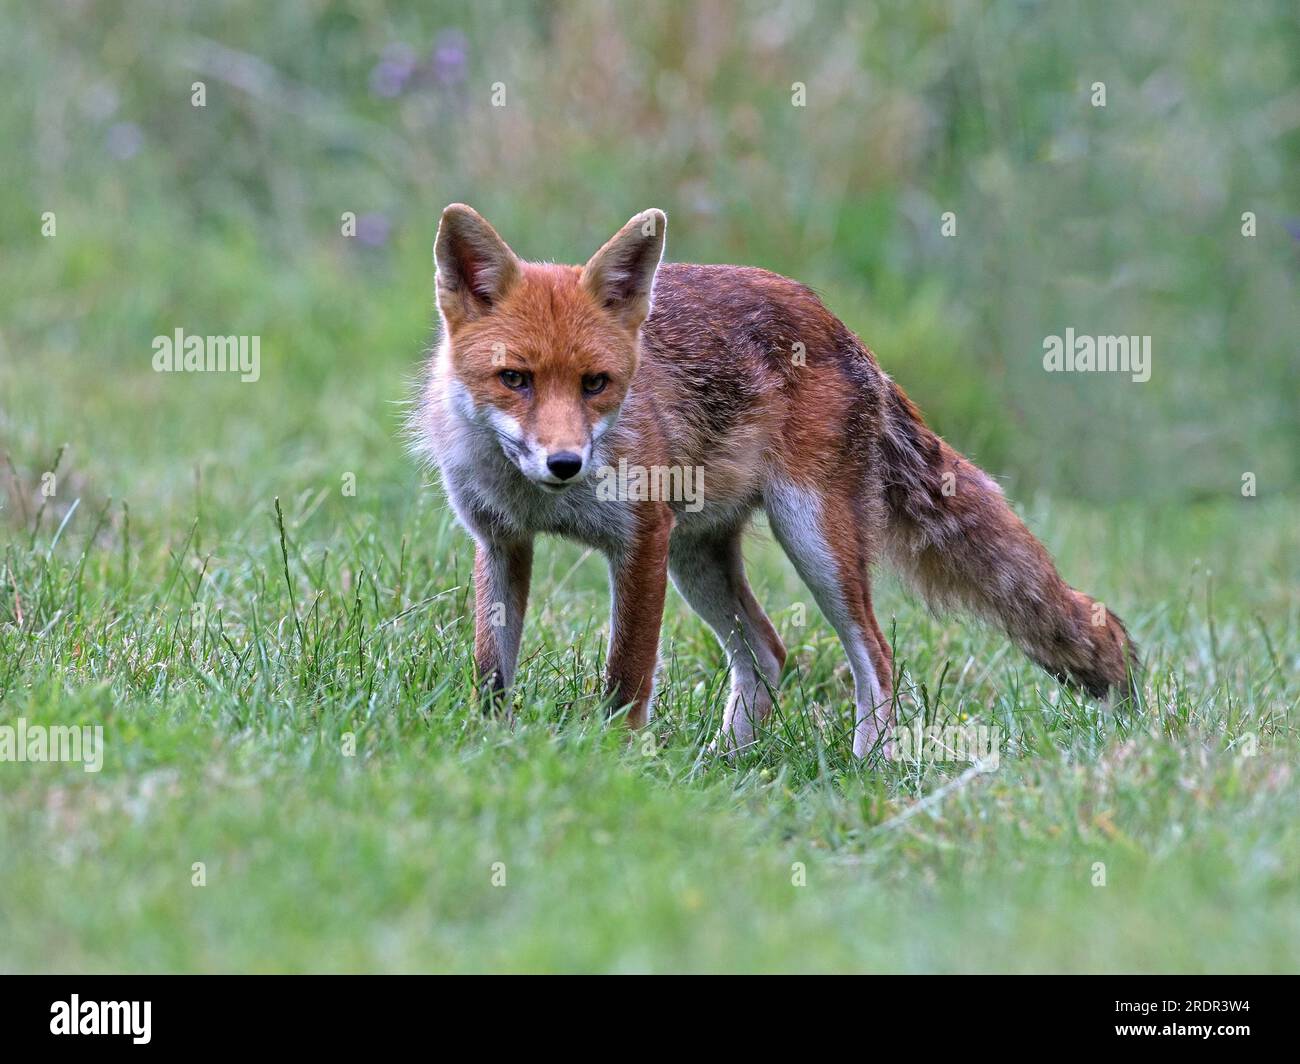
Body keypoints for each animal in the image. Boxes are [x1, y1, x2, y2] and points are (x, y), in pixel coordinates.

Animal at [414, 204, 1139, 759]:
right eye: (515, 379)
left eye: (596, 384)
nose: (565, 463)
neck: (539, 499)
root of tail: (841, 328)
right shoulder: (501, 542)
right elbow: (491, 669)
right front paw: (491, 745)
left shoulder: (639, 539)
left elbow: (626, 678)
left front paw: (611, 762)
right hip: (698, 554)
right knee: (767, 651)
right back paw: (723, 765)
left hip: (810, 537)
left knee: (876, 656)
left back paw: (865, 771)